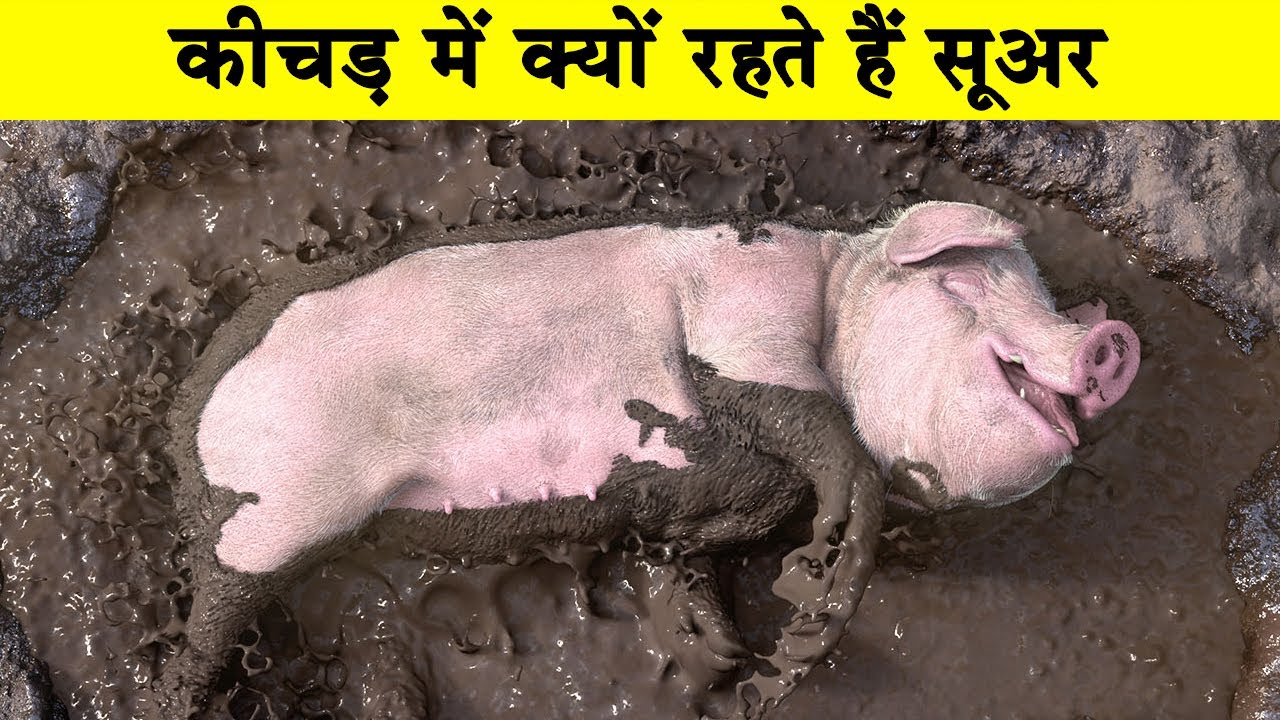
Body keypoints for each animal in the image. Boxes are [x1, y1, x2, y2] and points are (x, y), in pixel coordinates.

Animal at [158, 202, 1140, 719]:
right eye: (963, 282)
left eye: (1045, 296)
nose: (1111, 342)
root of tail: (179, 426)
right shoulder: (746, 316)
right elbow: (823, 442)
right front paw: (807, 609)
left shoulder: (711, 505)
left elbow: (692, 550)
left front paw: (724, 661)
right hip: (273, 504)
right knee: (212, 619)